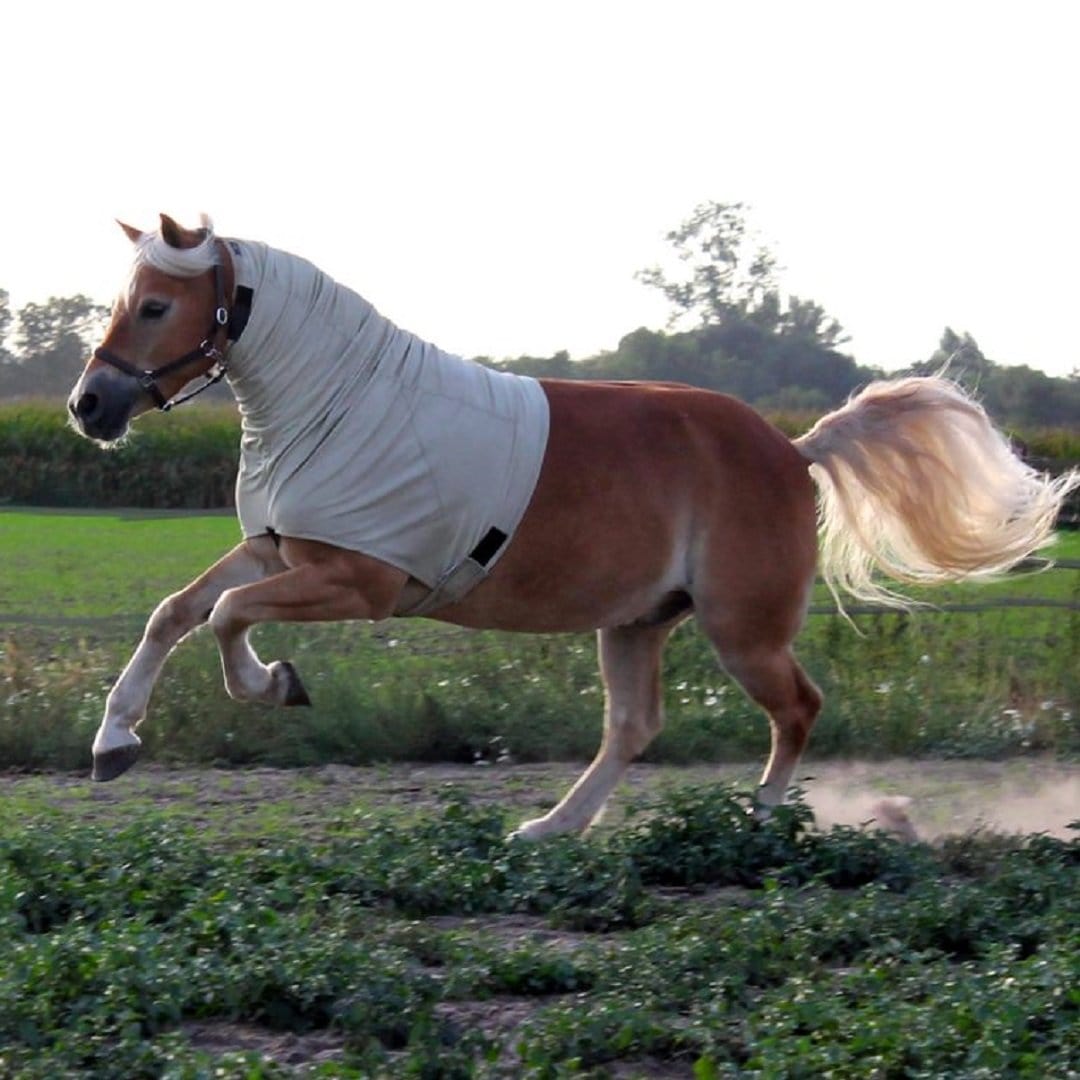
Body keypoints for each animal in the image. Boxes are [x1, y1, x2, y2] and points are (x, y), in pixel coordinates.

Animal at [67, 214, 1078, 839]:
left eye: (155, 305)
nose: (89, 406)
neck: (338, 402)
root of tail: (794, 450)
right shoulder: (280, 548)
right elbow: (176, 610)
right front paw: (114, 745)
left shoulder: (360, 580)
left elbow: (226, 617)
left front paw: (276, 685)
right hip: (635, 623)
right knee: (633, 728)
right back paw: (549, 828)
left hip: (742, 629)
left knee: (797, 709)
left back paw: (760, 826)